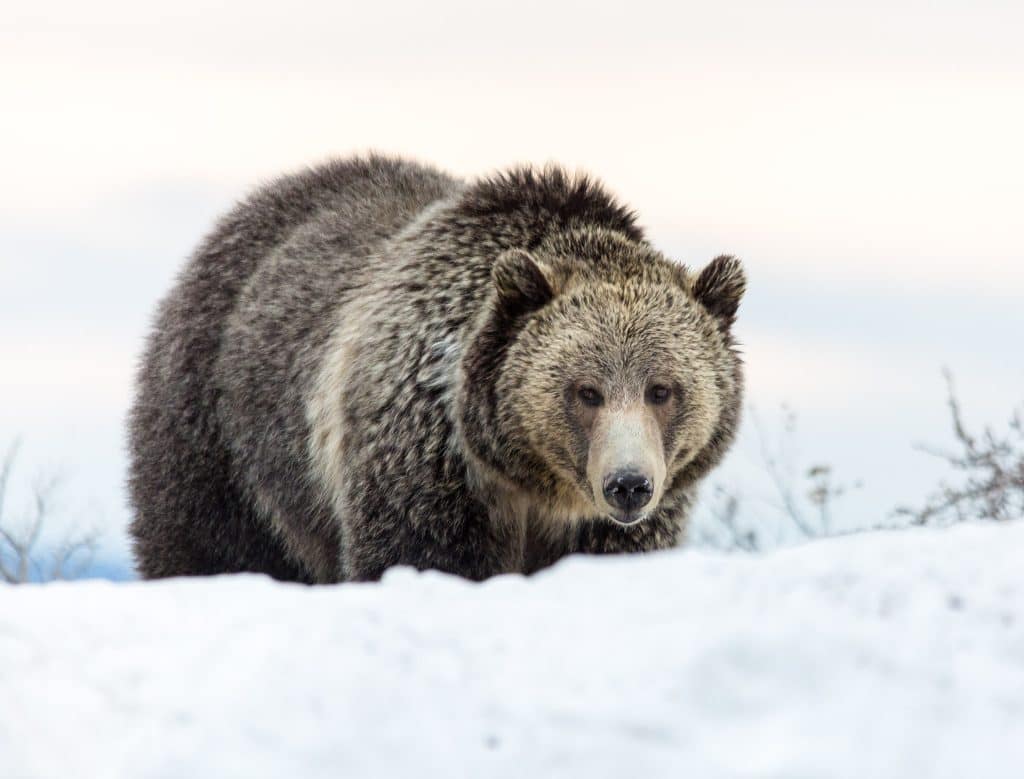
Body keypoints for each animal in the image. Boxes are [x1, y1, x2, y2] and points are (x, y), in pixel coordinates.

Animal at [127, 154, 745, 583]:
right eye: (585, 391)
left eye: (662, 389)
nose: (628, 484)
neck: (533, 482)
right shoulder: (428, 464)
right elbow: (426, 555)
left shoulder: (623, 519)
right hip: (222, 434)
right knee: (207, 542)